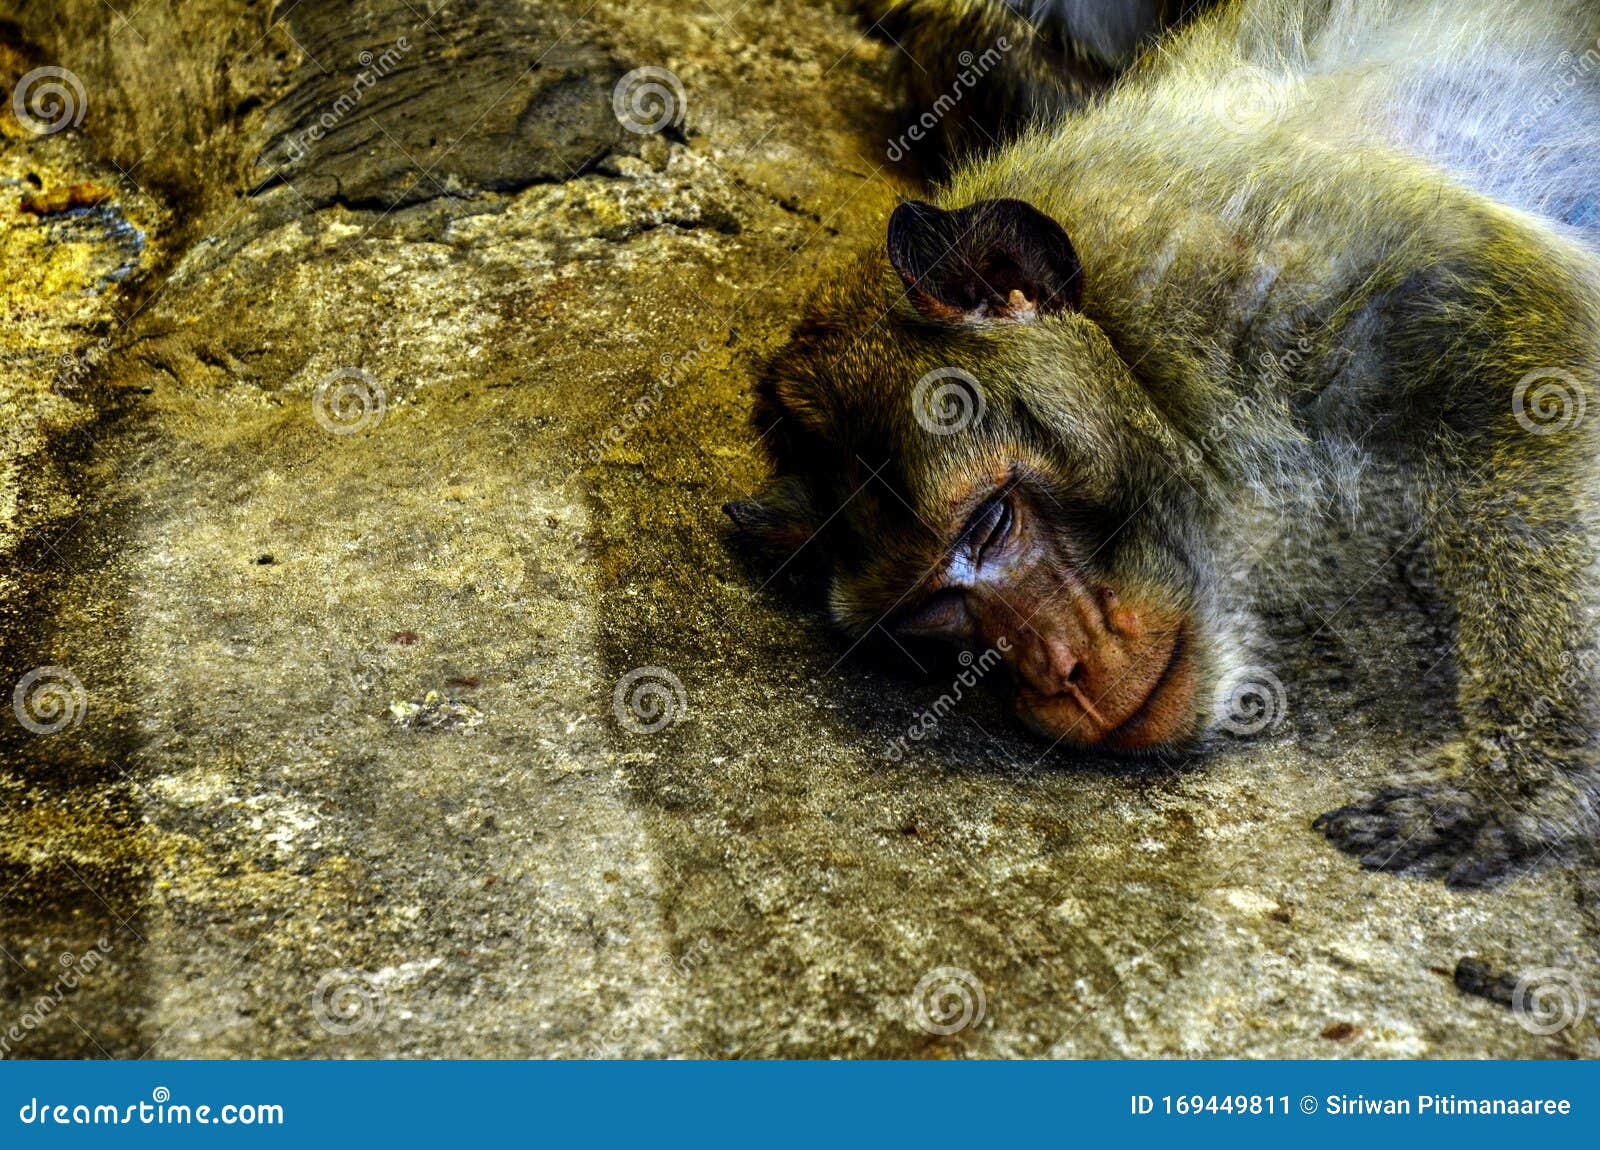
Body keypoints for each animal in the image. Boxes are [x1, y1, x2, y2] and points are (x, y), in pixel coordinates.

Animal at [727, 0, 1600, 887]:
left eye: (991, 525)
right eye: (932, 614)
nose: (1056, 671)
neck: (1139, 354)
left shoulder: (1252, 265)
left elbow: (1537, 359)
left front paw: (1511, 790)